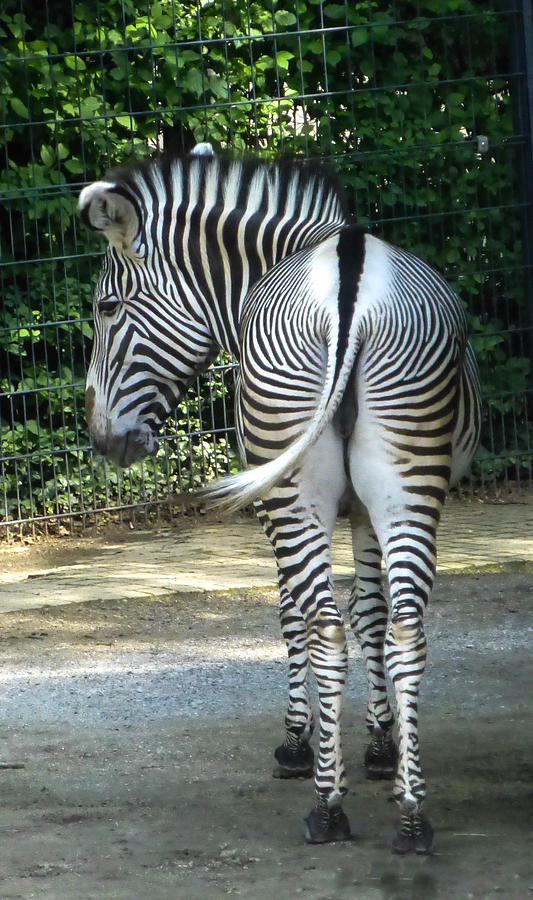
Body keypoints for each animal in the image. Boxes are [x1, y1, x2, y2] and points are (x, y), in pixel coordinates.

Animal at [78, 143, 482, 850]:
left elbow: (293, 614)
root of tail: (350, 286)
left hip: (295, 485)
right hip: (405, 476)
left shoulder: (272, 499)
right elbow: (372, 613)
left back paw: (327, 804)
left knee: (321, 623)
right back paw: (411, 814)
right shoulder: (363, 511)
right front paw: (381, 744)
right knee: (406, 628)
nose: (101, 438)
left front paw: (300, 739)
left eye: (106, 308)